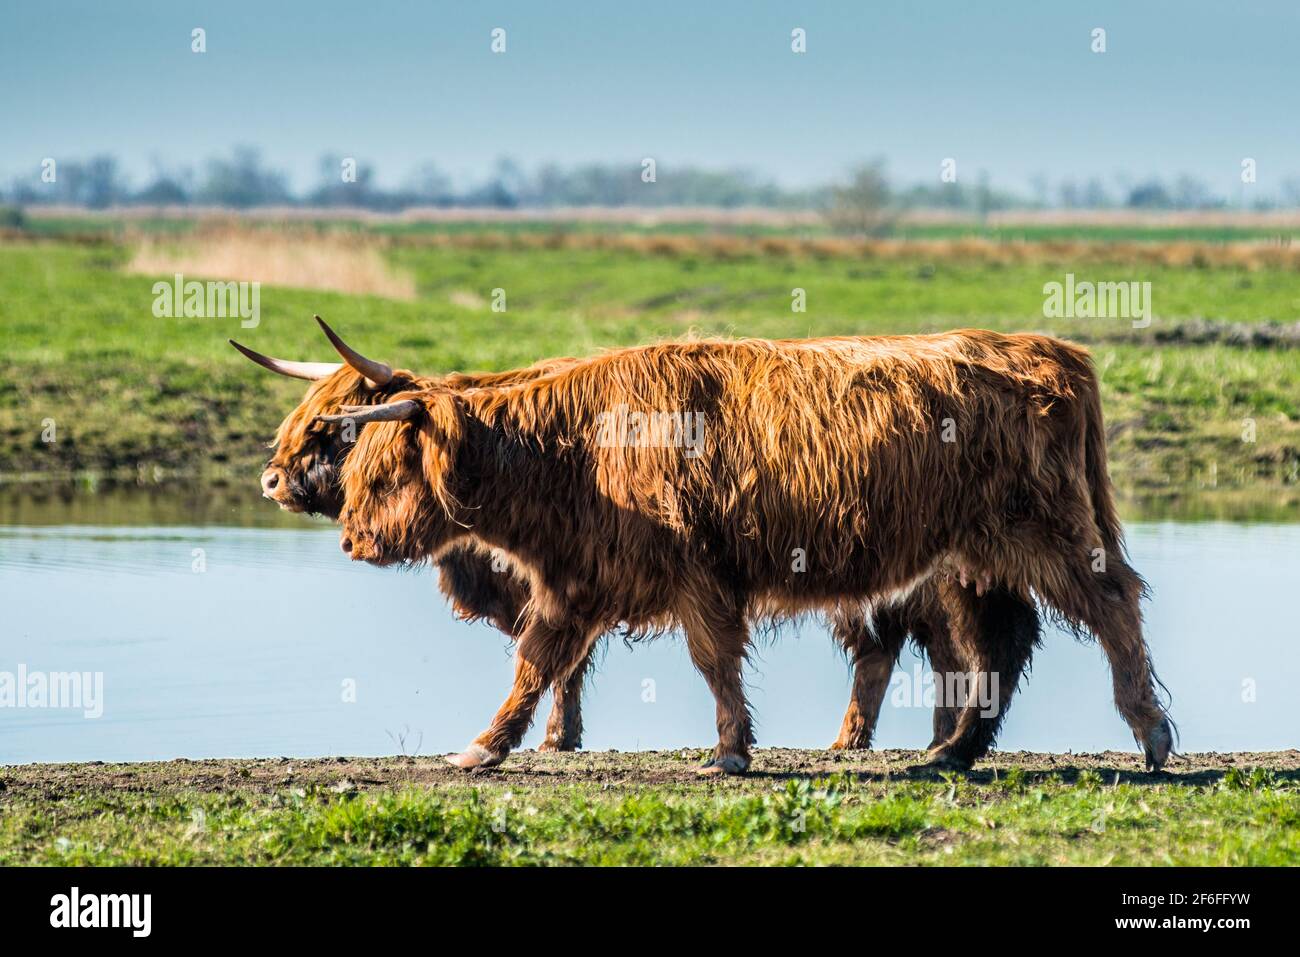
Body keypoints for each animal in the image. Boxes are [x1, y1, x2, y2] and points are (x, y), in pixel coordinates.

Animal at [335, 330, 1172, 775]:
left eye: (383, 470)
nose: (349, 537)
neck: (573, 452)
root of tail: (1046, 347)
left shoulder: (696, 571)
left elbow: (712, 659)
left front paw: (731, 750)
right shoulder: (579, 580)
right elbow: (538, 663)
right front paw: (483, 747)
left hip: (1045, 533)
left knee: (1111, 606)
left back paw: (1151, 733)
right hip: (972, 558)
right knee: (998, 640)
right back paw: (952, 751)